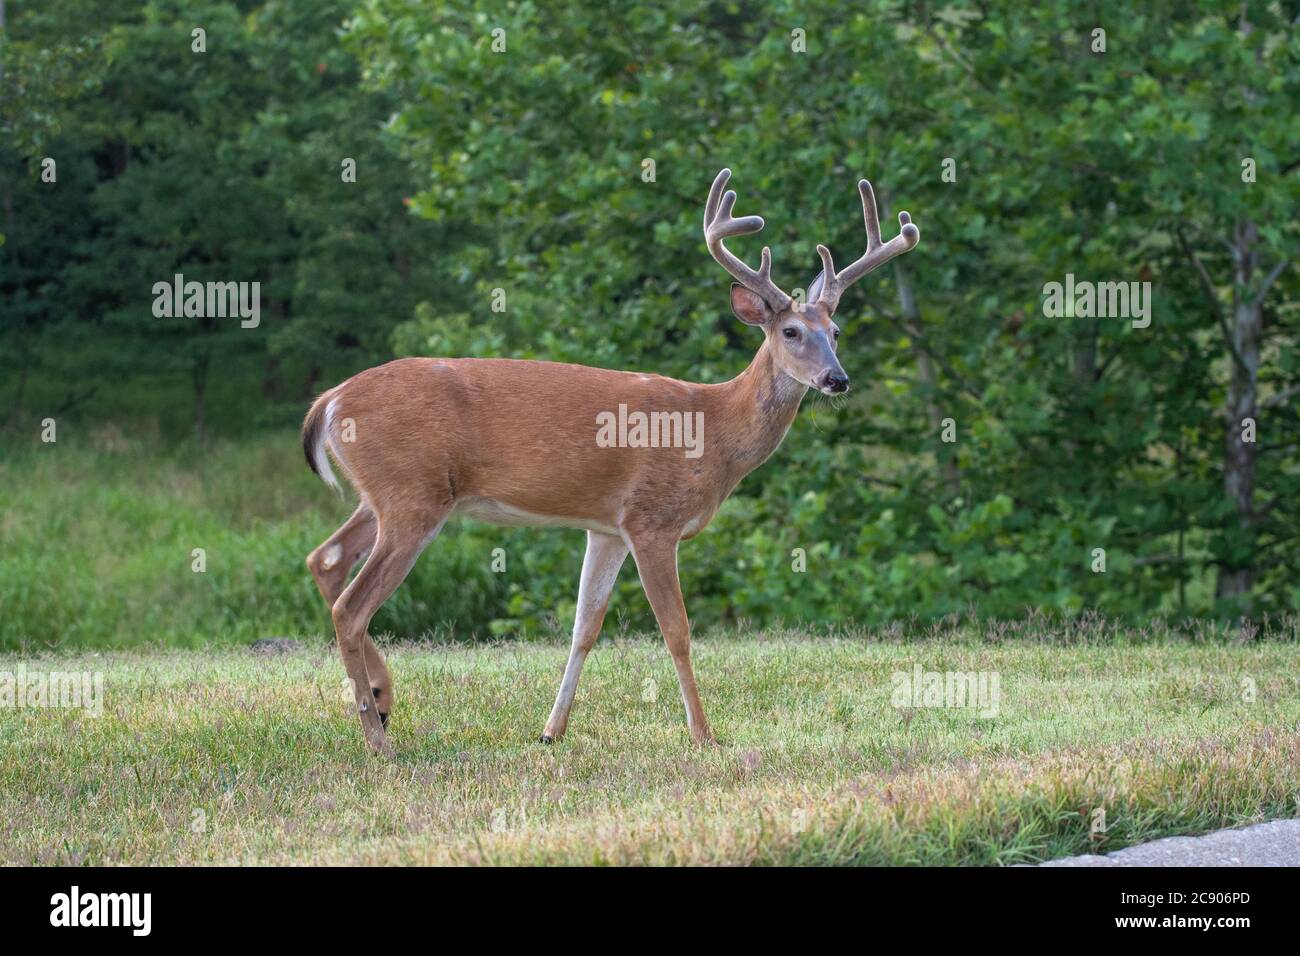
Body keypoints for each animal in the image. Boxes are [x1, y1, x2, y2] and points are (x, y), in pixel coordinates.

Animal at [301, 168, 920, 755]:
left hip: (387, 494)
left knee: (325, 559)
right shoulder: (652, 520)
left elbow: (585, 627)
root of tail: (329, 401)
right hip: (413, 495)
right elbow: (677, 630)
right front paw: (704, 735)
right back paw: (378, 739)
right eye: (790, 331)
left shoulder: (605, 527)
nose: (837, 379)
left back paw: (382, 699)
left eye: (835, 331)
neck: (714, 429)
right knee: (352, 606)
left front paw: (551, 731)